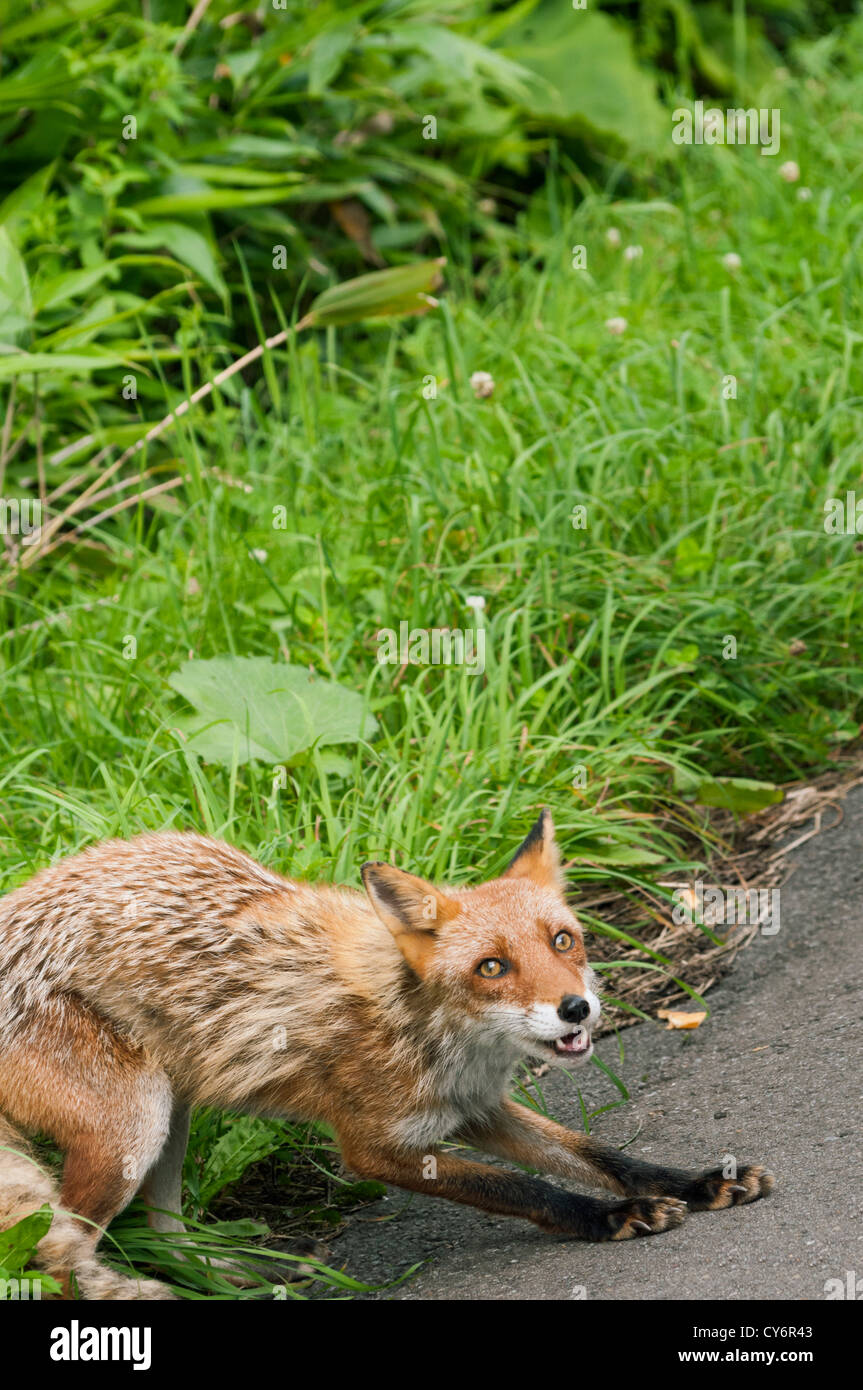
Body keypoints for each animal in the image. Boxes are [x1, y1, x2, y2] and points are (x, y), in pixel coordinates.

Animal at [0, 808, 772, 1299]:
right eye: (492, 967)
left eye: (563, 941)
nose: (575, 1009)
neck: (426, 1026)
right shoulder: (375, 1148)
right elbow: (520, 1189)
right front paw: (606, 1220)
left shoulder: (475, 1107)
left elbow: (602, 1156)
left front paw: (699, 1182)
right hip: (130, 1127)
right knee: (54, 1258)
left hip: (168, 1116)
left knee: (165, 1237)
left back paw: (238, 1281)